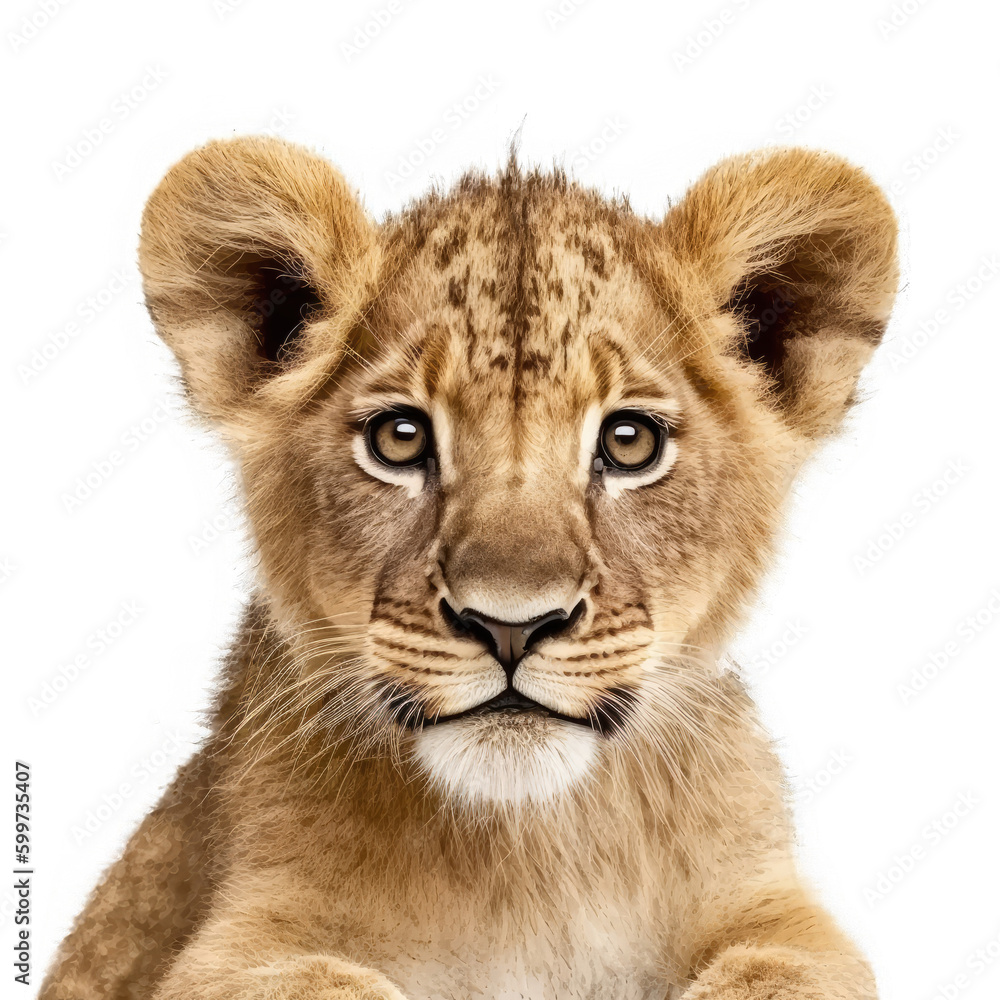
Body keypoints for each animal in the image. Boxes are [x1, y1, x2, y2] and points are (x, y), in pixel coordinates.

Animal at [41, 136, 898, 1000]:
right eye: (399, 438)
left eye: (630, 443)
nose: (510, 625)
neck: (527, 850)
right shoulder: (229, 941)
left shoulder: (776, 908)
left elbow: (780, 970)